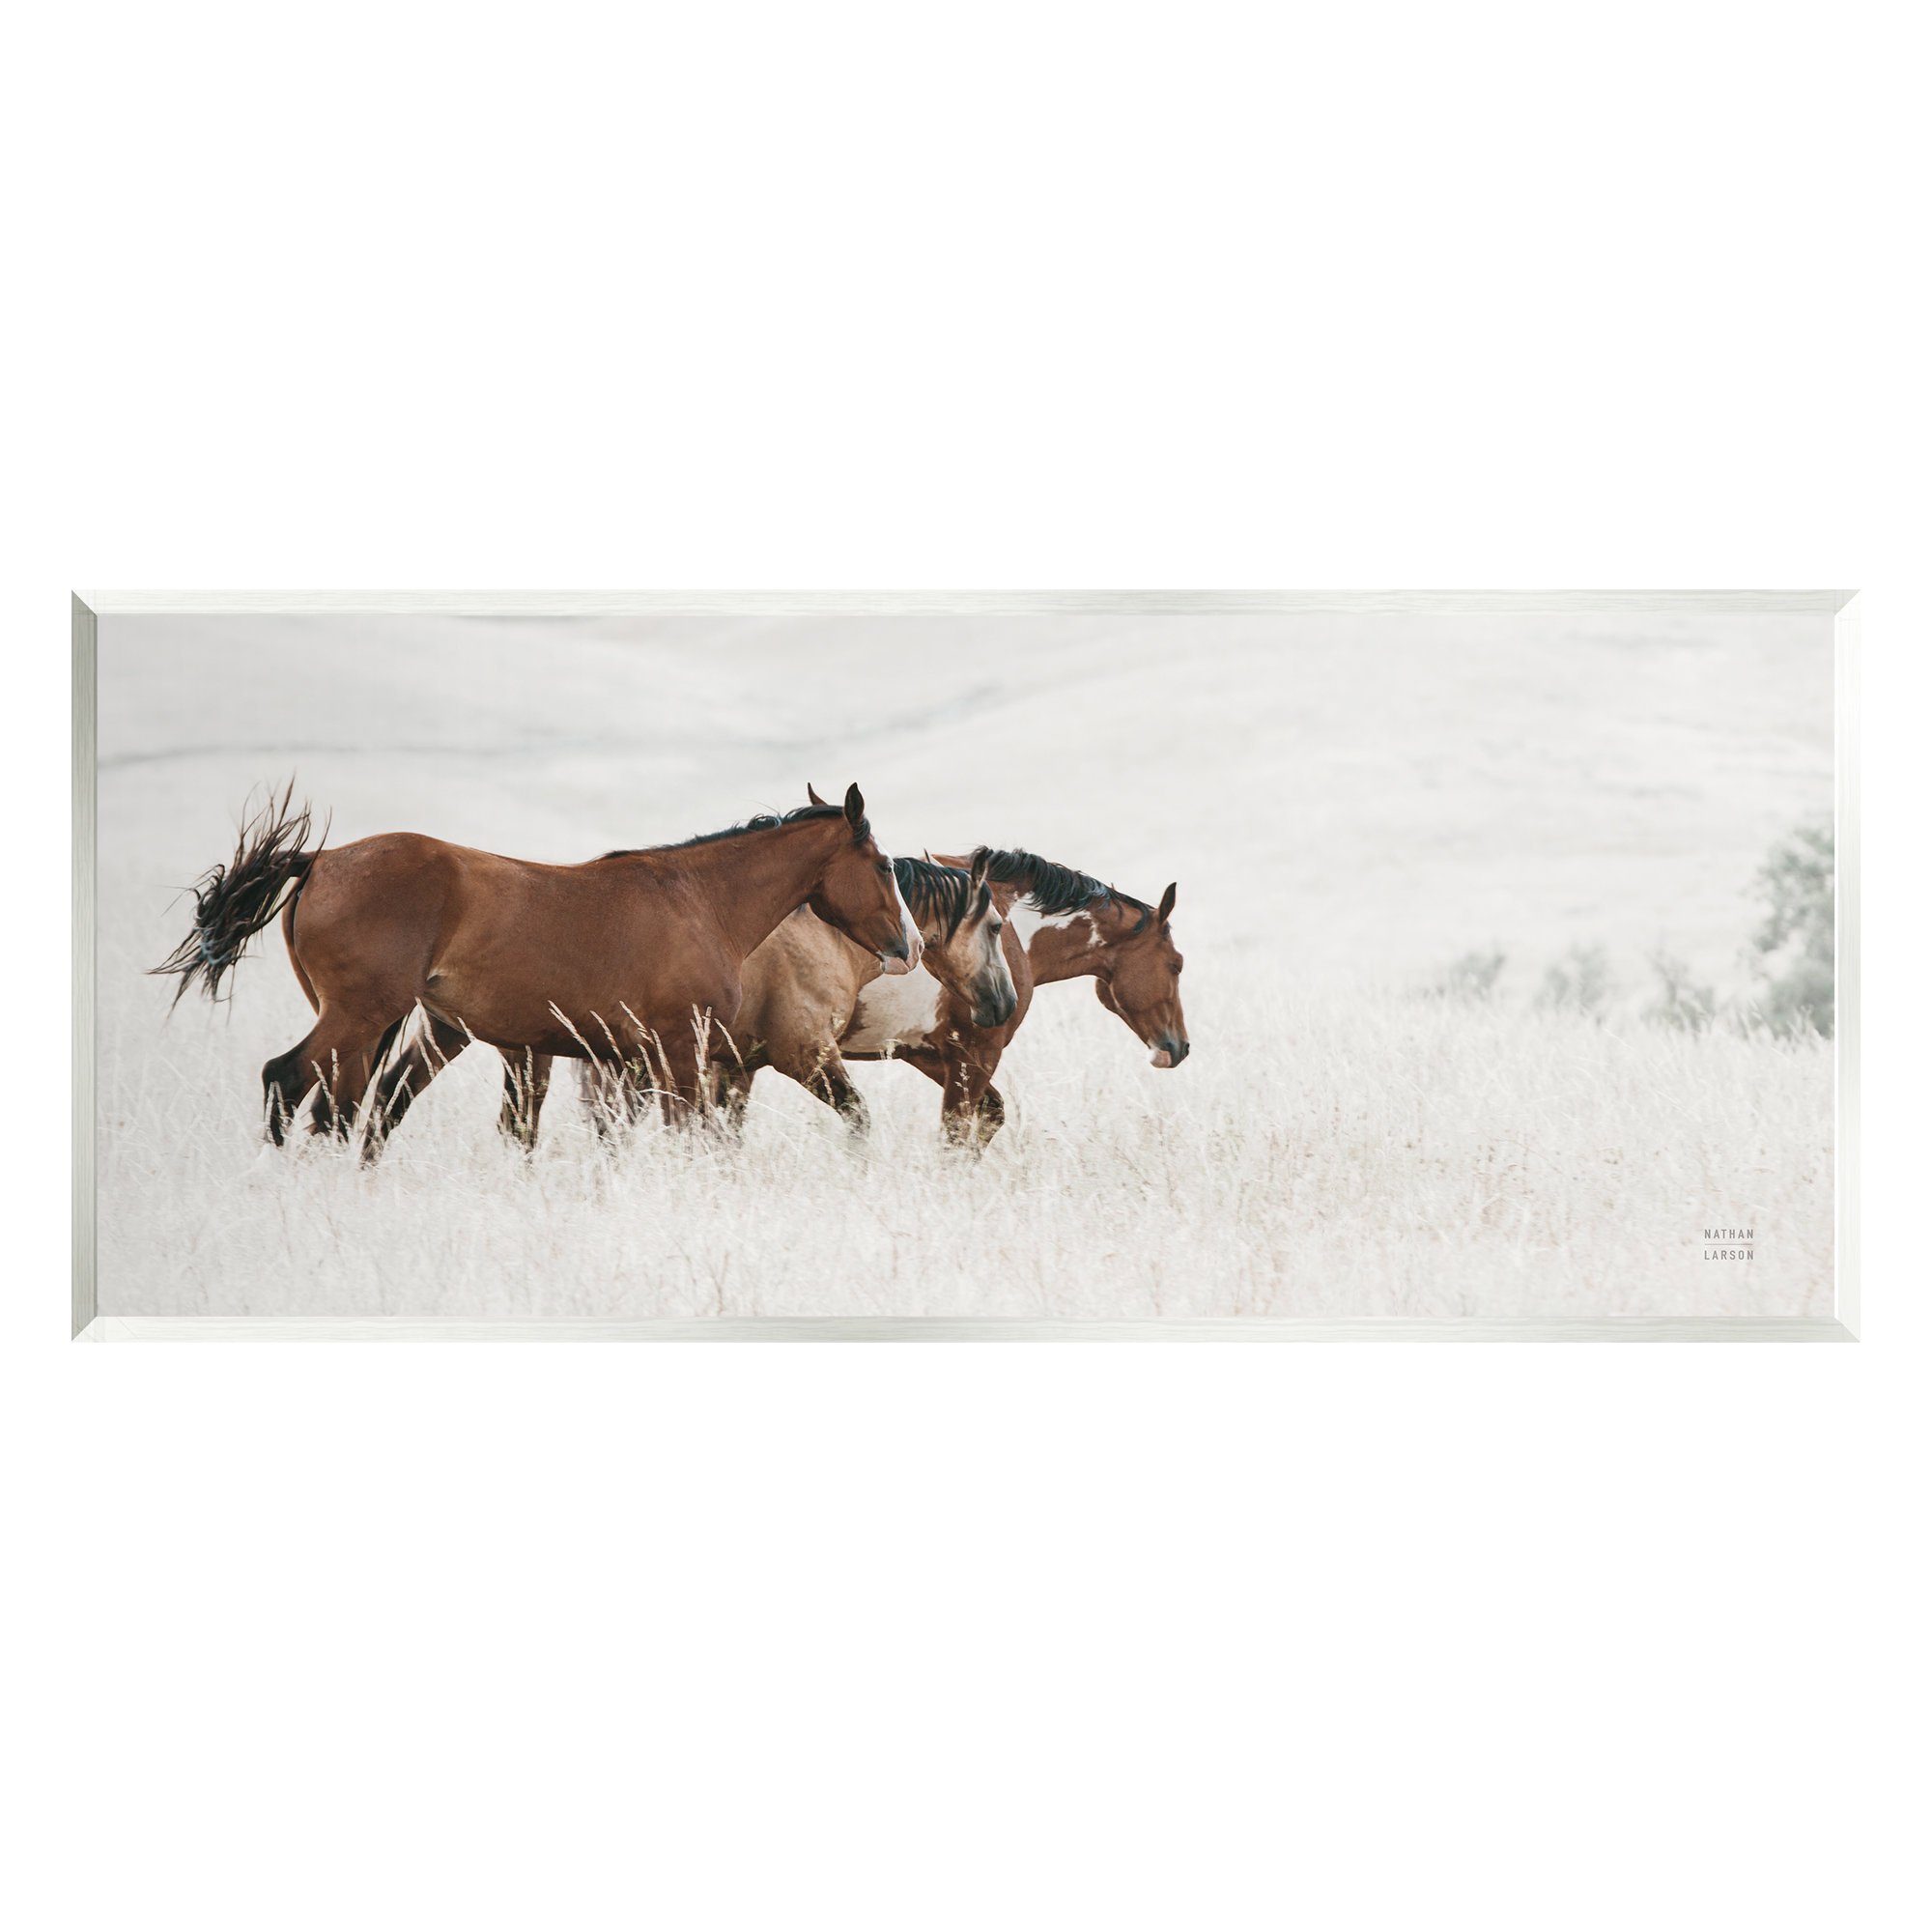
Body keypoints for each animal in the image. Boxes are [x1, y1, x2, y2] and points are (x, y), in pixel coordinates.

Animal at [152, 781, 921, 1154]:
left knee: (345, 1110)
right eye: (883, 865)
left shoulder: (624, 1056)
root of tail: (320, 859)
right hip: (361, 1017)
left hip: (397, 1026)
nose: (908, 946)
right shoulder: (678, 1047)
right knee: (289, 1084)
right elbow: (690, 1135)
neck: (698, 899)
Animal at [555, 851, 1019, 1140]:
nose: (1006, 1003)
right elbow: (858, 1119)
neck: (829, 937)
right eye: (996, 926)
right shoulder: (805, 1055)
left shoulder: (739, 1064)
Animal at [841, 846, 1189, 1146]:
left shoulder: (925, 1053)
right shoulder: (977, 1053)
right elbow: (956, 1135)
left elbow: (991, 1115)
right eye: (1177, 965)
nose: (1181, 1047)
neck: (1008, 927)